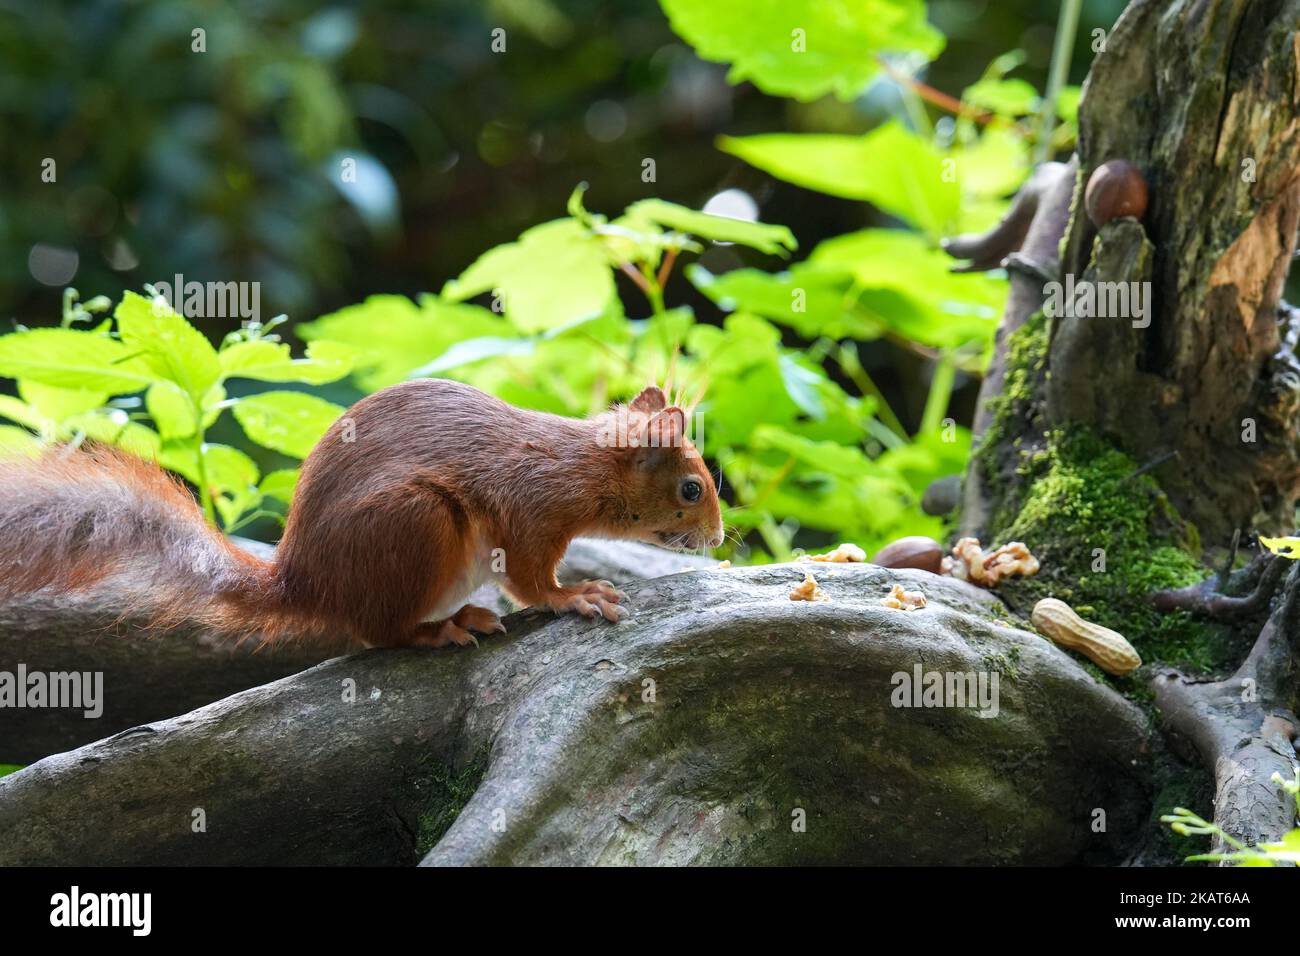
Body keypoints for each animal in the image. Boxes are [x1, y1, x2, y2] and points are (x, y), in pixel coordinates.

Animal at [0, 379, 723, 649]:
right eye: (692, 489)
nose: (720, 538)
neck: (586, 466)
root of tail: (304, 582)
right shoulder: (532, 506)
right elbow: (530, 580)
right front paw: (575, 596)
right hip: (416, 522)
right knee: (382, 633)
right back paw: (440, 631)